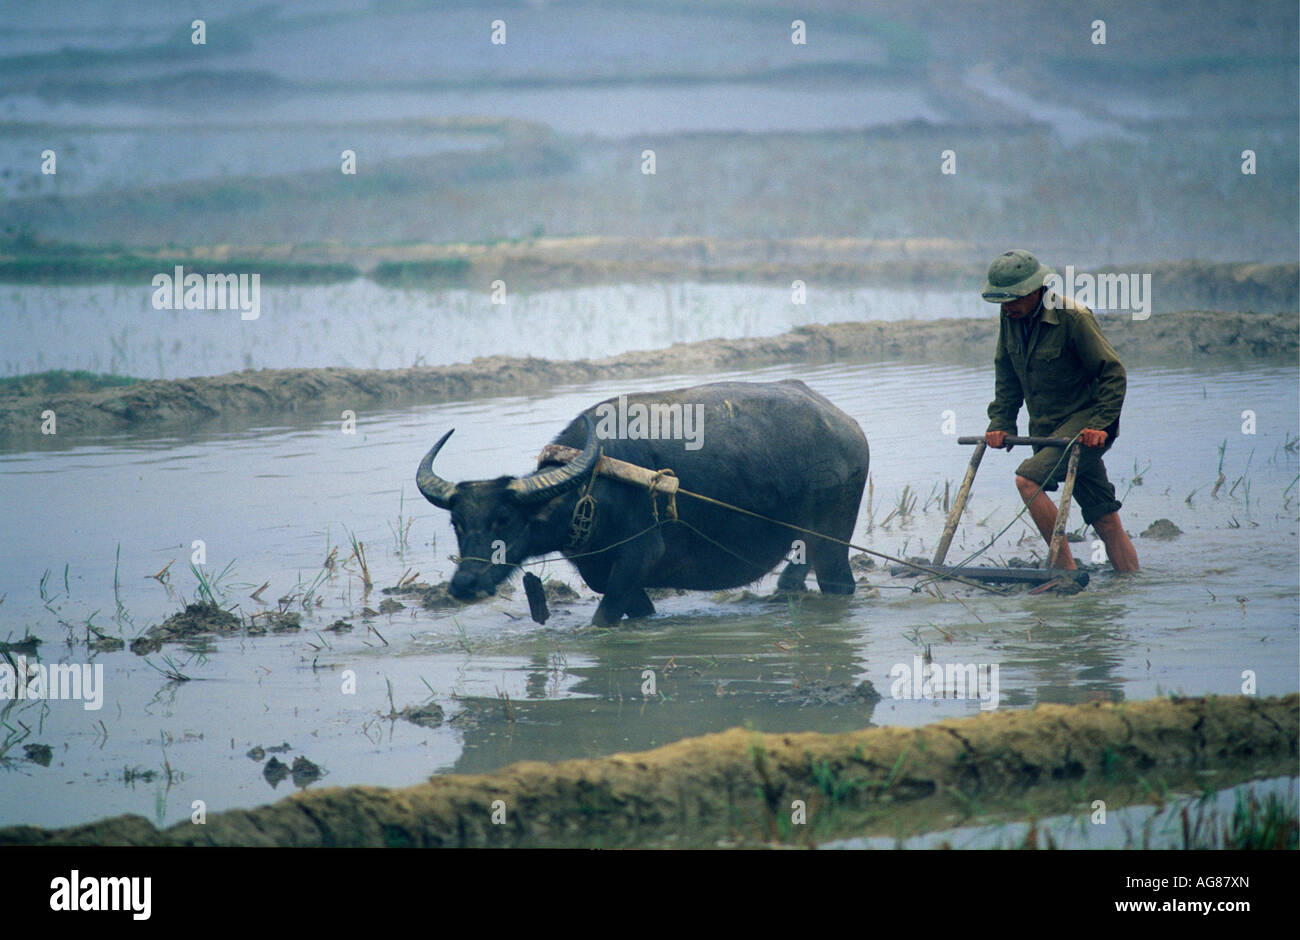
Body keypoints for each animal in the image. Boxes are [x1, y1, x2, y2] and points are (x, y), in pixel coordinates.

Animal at [416, 380, 869, 626]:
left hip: (834, 537)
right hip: (805, 540)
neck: (590, 490)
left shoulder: (637, 559)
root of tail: (848, 427)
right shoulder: (611, 576)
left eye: (505, 519)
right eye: (457, 523)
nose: (464, 584)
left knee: (840, 584)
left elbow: (602, 620)